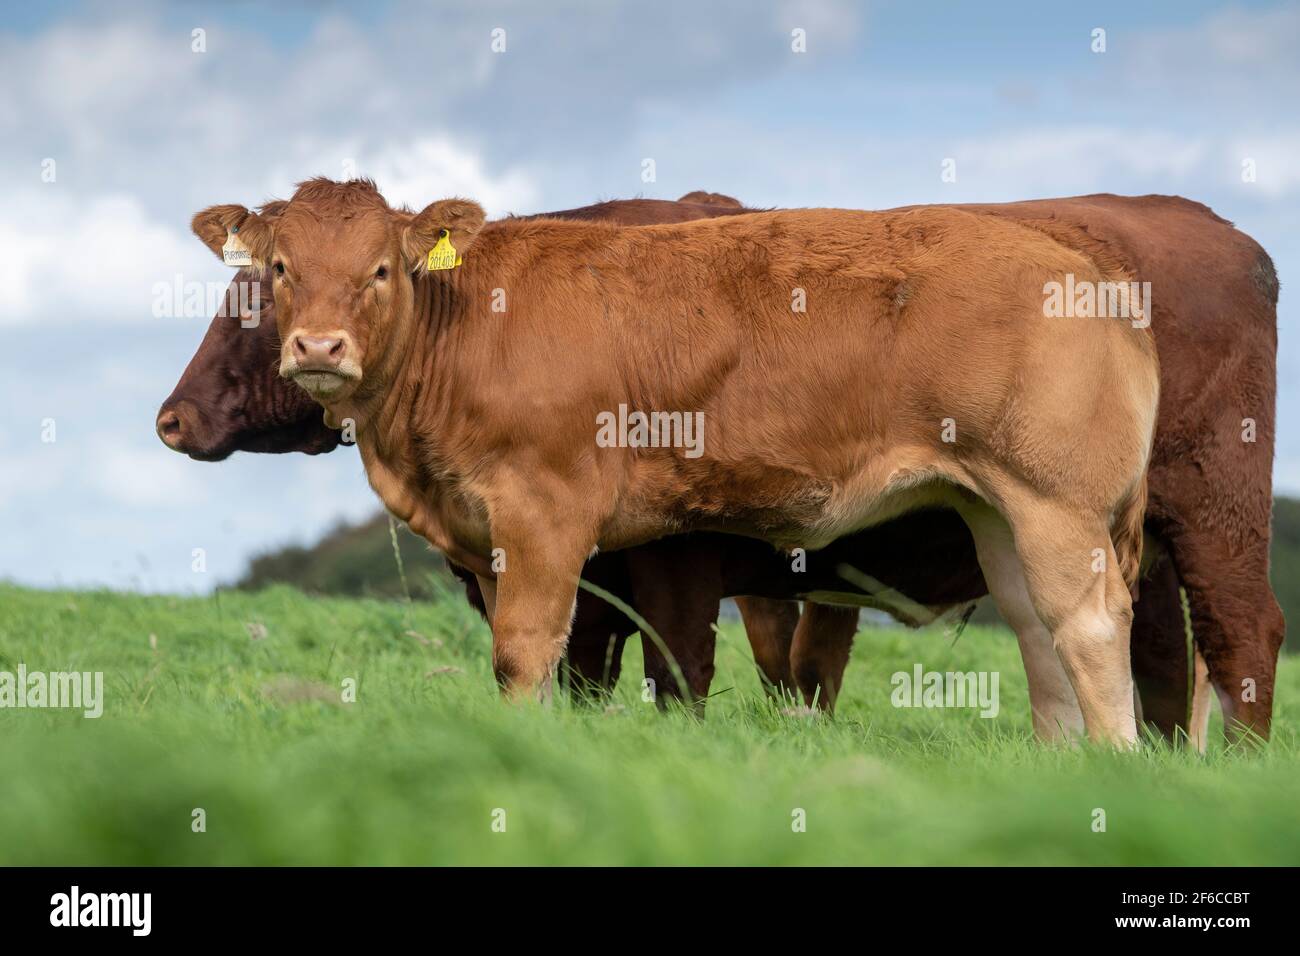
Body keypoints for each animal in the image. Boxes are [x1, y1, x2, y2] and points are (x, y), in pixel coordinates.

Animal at [163, 191, 1283, 744]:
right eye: (276, 269)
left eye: (382, 269)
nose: (317, 347)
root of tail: (1084, 259)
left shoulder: (548, 515)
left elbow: (533, 654)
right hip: (999, 513)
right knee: (1042, 635)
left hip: (1069, 504)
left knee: (1107, 632)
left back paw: (1115, 766)